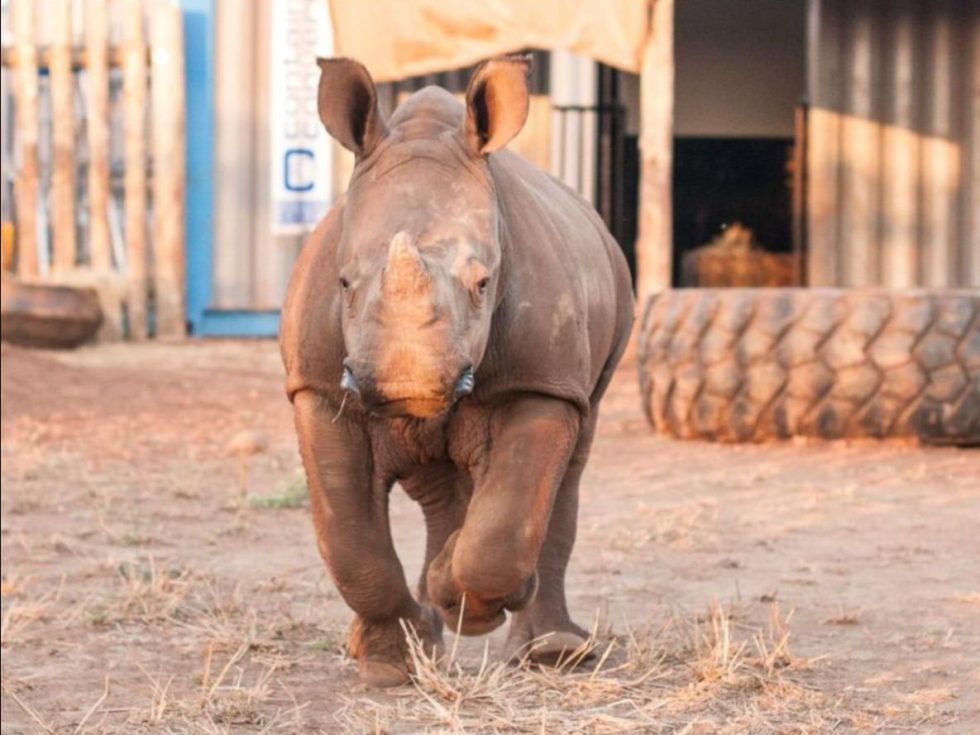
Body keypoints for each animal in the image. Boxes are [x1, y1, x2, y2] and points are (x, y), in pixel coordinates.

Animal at [280, 55, 633, 687]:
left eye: (484, 283)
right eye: (343, 283)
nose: (408, 383)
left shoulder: (541, 384)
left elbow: (504, 523)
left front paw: (463, 603)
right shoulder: (318, 388)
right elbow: (348, 540)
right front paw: (391, 663)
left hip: (607, 315)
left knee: (568, 468)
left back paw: (551, 650)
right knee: (436, 481)